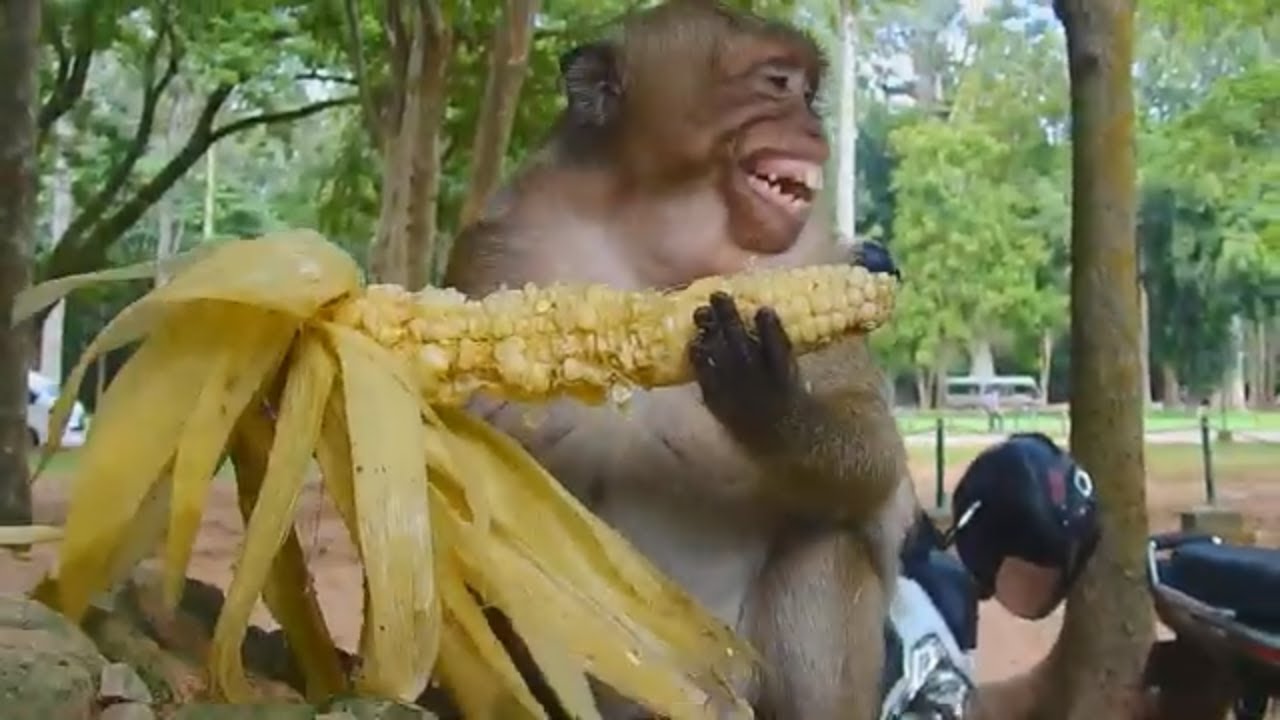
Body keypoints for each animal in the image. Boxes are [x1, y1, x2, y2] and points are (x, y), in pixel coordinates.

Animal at [442, 1, 918, 717]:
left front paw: (770, 407)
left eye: (808, 94)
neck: (656, 256)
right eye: (776, 84)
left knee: (825, 539)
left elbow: (873, 447)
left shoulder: (811, 257)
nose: (811, 125)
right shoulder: (501, 248)